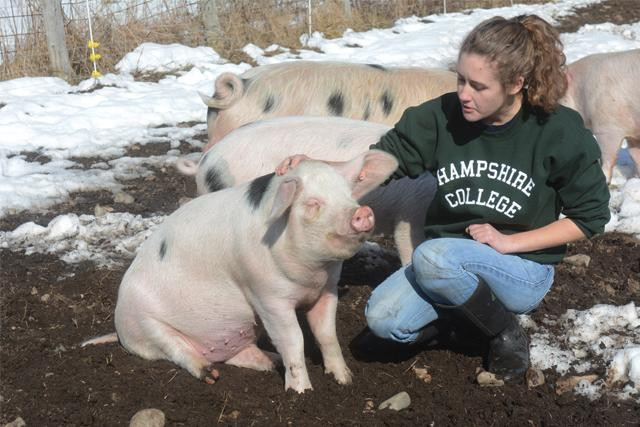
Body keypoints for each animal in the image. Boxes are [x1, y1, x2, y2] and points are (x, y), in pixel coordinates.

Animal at [85, 150, 398, 393]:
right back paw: (210, 374)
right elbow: (294, 340)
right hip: (147, 324)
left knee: (238, 354)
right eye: (313, 204)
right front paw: (302, 392)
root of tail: (119, 328)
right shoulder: (267, 296)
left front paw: (345, 380)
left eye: (349, 195)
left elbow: (326, 334)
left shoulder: (327, 290)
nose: (361, 212)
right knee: (179, 351)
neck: (312, 275)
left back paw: (271, 360)